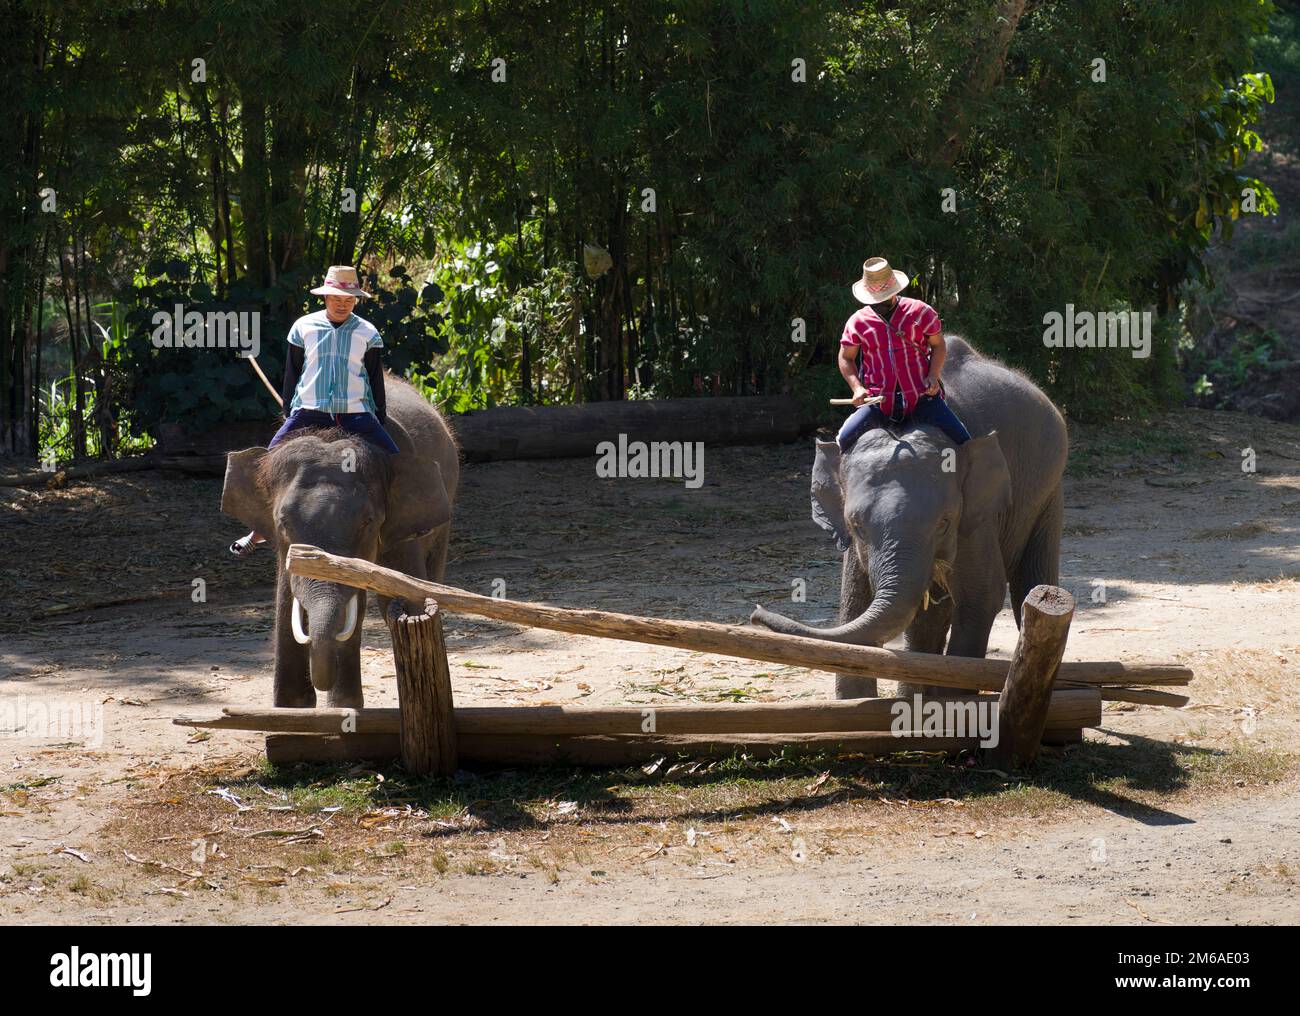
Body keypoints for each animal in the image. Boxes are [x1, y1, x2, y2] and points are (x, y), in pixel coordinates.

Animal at [220, 376, 459, 709]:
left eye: (368, 522)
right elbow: (286, 601)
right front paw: (293, 708)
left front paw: (343, 707)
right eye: (283, 522)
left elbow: (406, 596)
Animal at [750, 336, 1067, 700]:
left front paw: (954, 703)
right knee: (928, 616)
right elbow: (855, 601)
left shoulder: (978, 518)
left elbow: (981, 598)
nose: (755, 611)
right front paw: (859, 703)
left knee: (1029, 586)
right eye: (857, 527)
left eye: (944, 522)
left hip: (1048, 492)